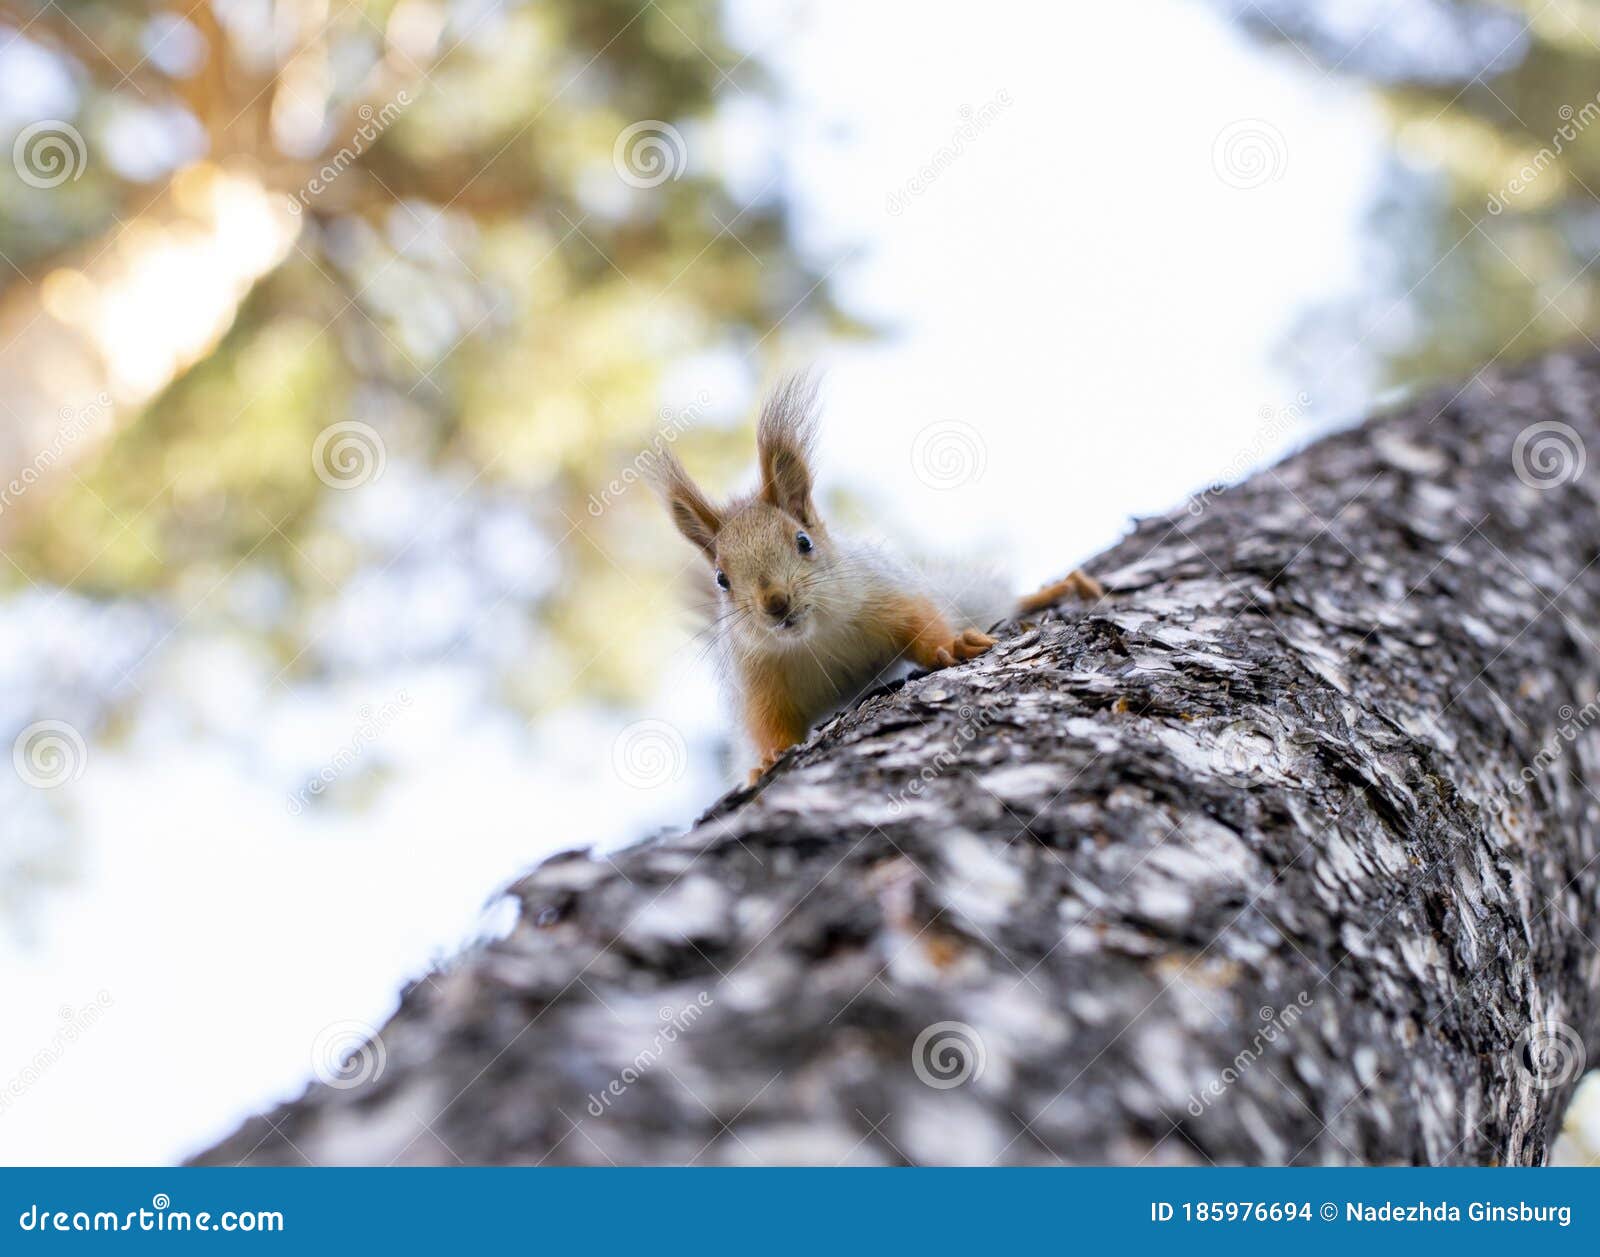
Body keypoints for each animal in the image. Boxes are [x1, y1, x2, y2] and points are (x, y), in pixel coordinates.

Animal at [653, 375, 1104, 784]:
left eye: (803, 541)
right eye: (721, 579)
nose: (776, 603)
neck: (816, 637)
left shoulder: (884, 591)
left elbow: (922, 621)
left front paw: (952, 645)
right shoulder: (756, 674)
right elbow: (767, 723)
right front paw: (766, 761)